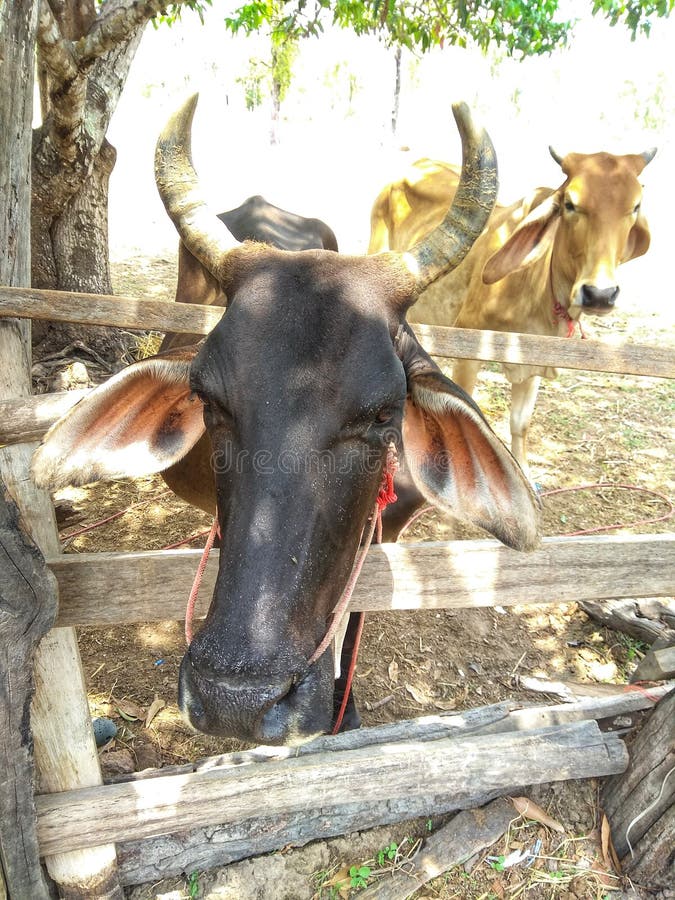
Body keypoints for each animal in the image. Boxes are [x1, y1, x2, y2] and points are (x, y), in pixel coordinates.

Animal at [368, 148, 656, 476]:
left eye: (635, 206)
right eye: (570, 204)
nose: (600, 294)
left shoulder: (533, 365)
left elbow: (520, 424)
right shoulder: (470, 350)